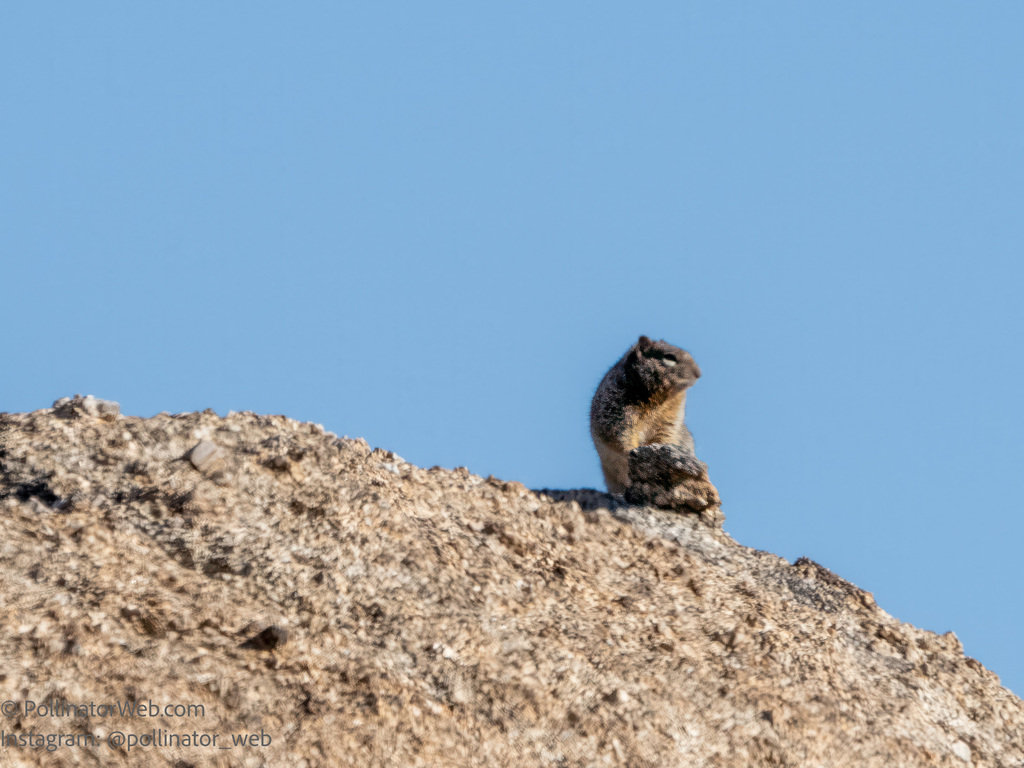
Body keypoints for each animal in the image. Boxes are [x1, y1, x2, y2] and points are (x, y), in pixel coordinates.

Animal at [590, 336, 720, 515]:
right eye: (669, 357)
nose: (699, 373)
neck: (661, 397)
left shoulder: (669, 421)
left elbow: (664, 438)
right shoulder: (615, 413)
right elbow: (621, 437)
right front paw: (632, 452)